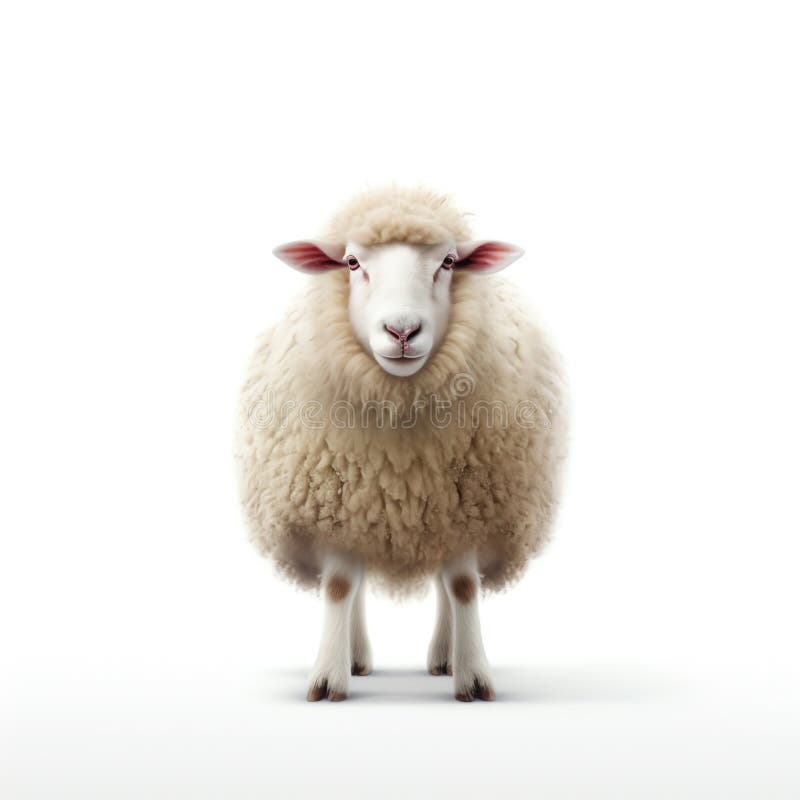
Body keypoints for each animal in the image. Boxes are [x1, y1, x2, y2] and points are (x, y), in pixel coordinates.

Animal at [235, 186, 567, 702]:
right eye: (352, 263)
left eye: (449, 262)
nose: (402, 331)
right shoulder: (341, 502)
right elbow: (339, 586)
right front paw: (328, 678)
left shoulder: (465, 505)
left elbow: (463, 586)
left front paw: (473, 677)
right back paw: (356, 655)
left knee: (446, 587)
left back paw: (444, 656)